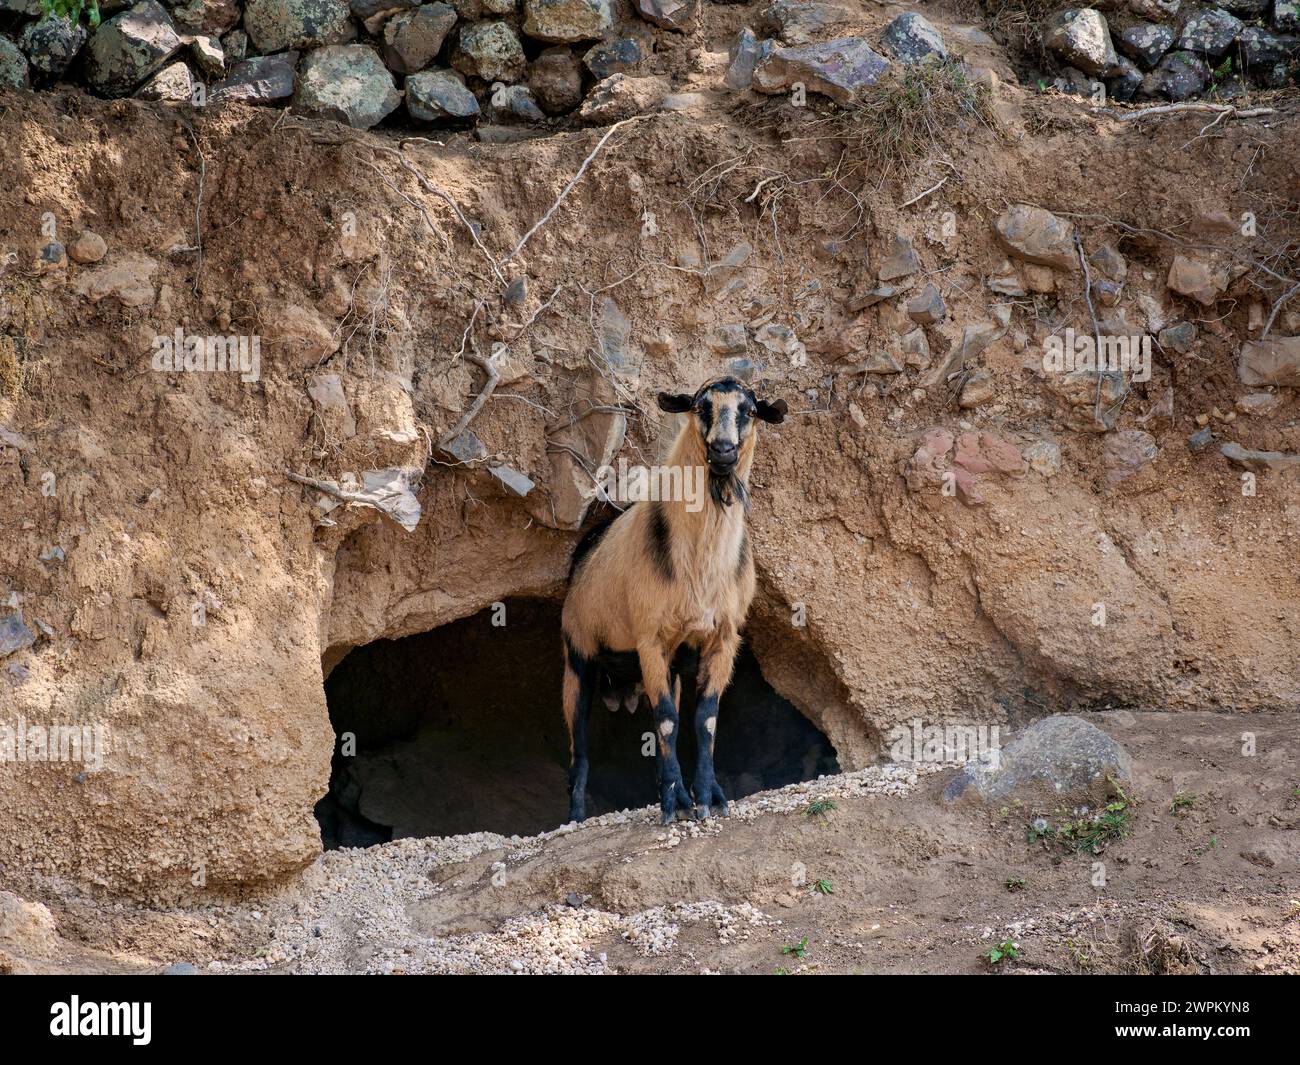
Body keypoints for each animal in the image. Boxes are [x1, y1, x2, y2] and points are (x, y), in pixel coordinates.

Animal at [561, 377, 787, 824]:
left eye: (750, 410)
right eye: (701, 406)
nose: (723, 449)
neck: (697, 565)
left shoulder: (722, 639)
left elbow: (705, 720)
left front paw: (709, 797)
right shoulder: (651, 640)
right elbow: (666, 721)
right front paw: (675, 803)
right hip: (578, 656)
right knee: (579, 745)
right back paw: (577, 817)